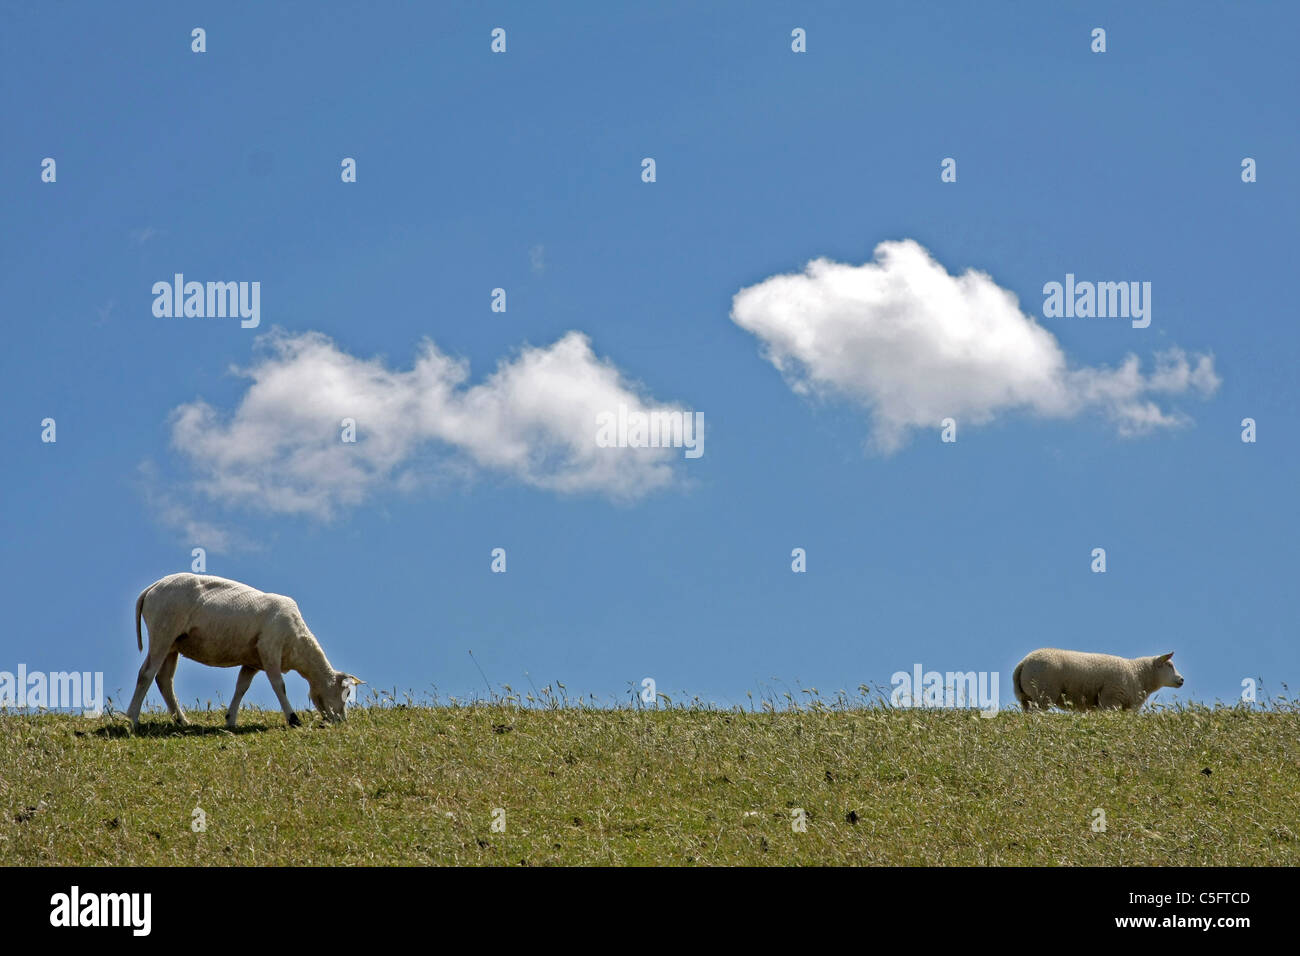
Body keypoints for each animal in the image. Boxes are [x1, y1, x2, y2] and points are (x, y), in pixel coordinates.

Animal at [125, 573, 362, 730]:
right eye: (347, 693)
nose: (342, 721)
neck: (298, 646)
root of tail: (153, 587)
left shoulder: (253, 661)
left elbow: (242, 687)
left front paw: (231, 719)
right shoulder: (269, 649)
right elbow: (279, 686)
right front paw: (293, 719)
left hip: (173, 644)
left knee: (165, 680)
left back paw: (182, 720)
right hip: (162, 633)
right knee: (146, 674)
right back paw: (131, 719)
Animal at [1012, 648, 1183, 712]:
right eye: (1169, 665)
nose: (1181, 679)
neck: (1138, 673)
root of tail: (1023, 662)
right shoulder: (1111, 699)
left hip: (1025, 698)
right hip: (1044, 693)